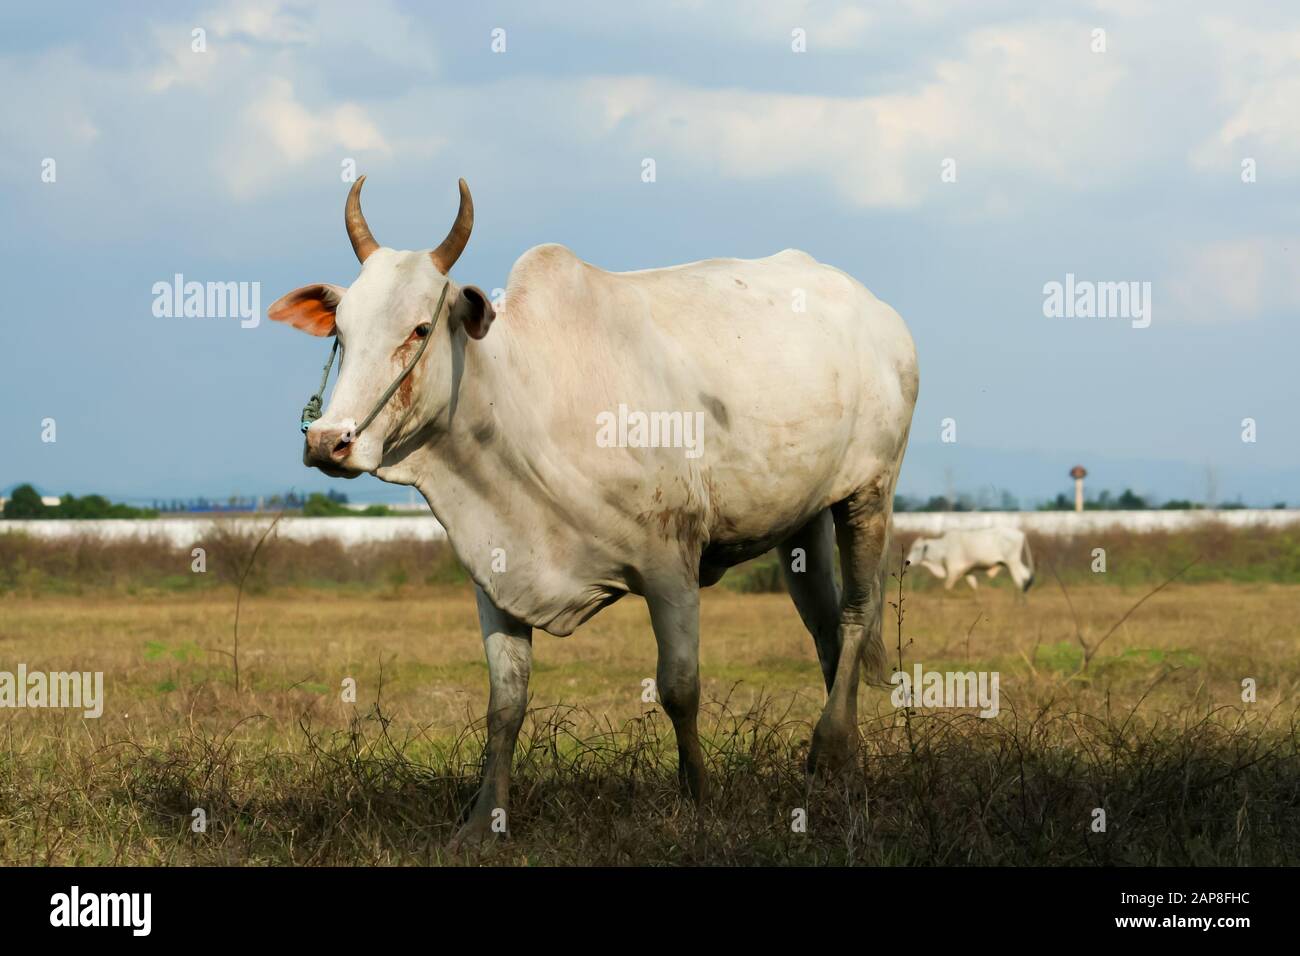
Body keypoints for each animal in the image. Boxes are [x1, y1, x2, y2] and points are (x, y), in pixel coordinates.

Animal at [268, 177, 919, 846]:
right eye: (341, 333)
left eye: (420, 329)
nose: (329, 442)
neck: (527, 406)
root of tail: (880, 316)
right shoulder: (496, 575)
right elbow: (506, 702)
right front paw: (483, 821)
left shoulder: (671, 566)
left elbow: (679, 688)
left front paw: (698, 800)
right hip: (803, 523)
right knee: (825, 633)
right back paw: (847, 768)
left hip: (870, 493)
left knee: (855, 617)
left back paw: (832, 751)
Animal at [906, 528, 1035, 592]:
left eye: (917, 548)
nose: (907, 561)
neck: (944, 548)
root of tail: (1021, 534)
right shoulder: (968, 572)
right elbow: (974, 586)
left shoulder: (953, 570)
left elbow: (947, 586)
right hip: (1012, 563)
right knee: (1026, 576)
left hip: (1013, 562)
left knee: (1020, 580)